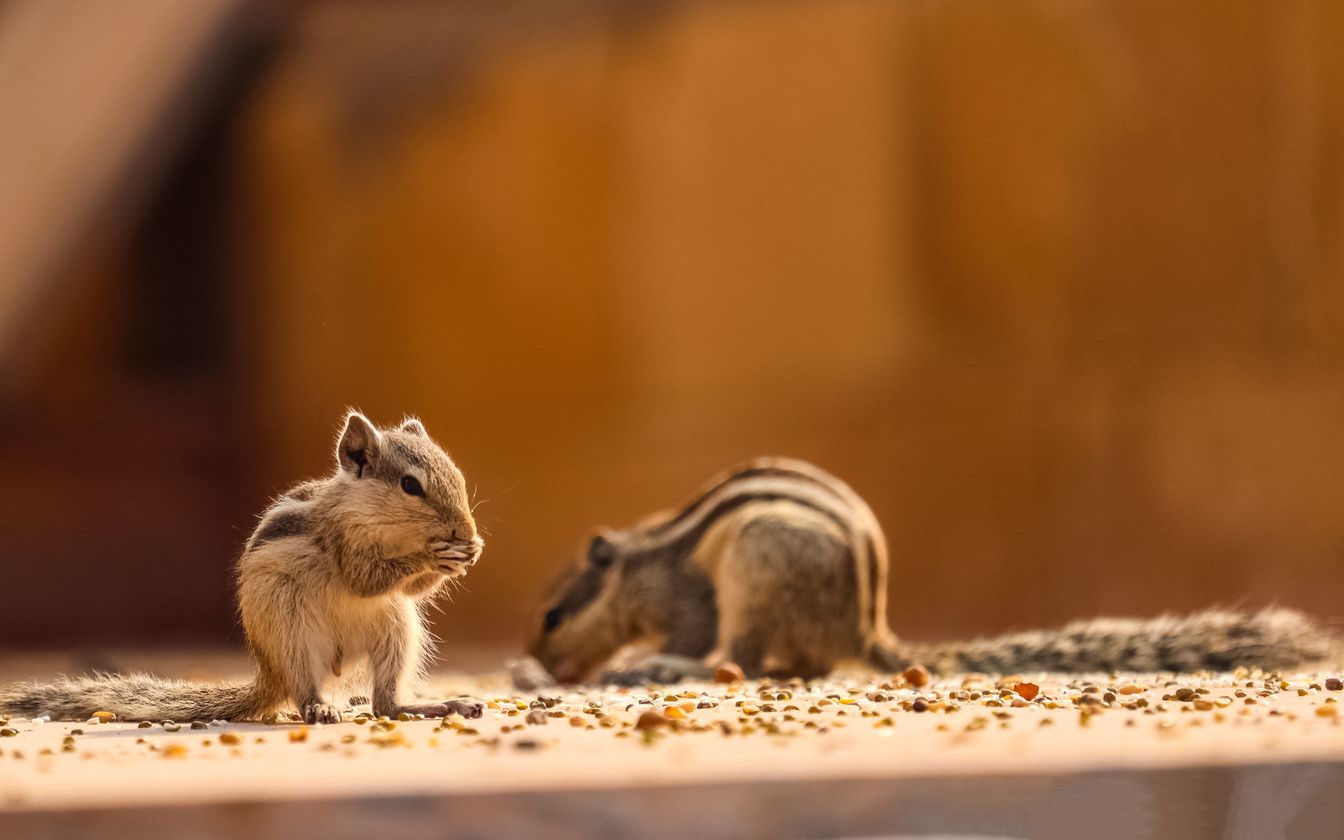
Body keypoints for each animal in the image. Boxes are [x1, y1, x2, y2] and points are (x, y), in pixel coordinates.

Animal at [1, 411, 486, 724]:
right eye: (410, 485)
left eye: (459, 477)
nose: (464, 529)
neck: (370, 516)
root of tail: (268, 675)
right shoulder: (342, 545)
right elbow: (364, 579)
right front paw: (435, 555)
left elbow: (410, 590)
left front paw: (470, 551)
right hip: (291, 630)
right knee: (305, 691)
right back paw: (320, 707)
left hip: (396, 631)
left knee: (385, 703)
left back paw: (437, 706)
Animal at [528, 457, 1334, 683]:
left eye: (553, 615)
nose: (541, 660)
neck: (633, 565)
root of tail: (865, 632)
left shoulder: (686, 595)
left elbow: (694, 632)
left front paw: (642, 656)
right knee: (800, 667)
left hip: (755, 570)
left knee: (746, 660)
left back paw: (671, 668)